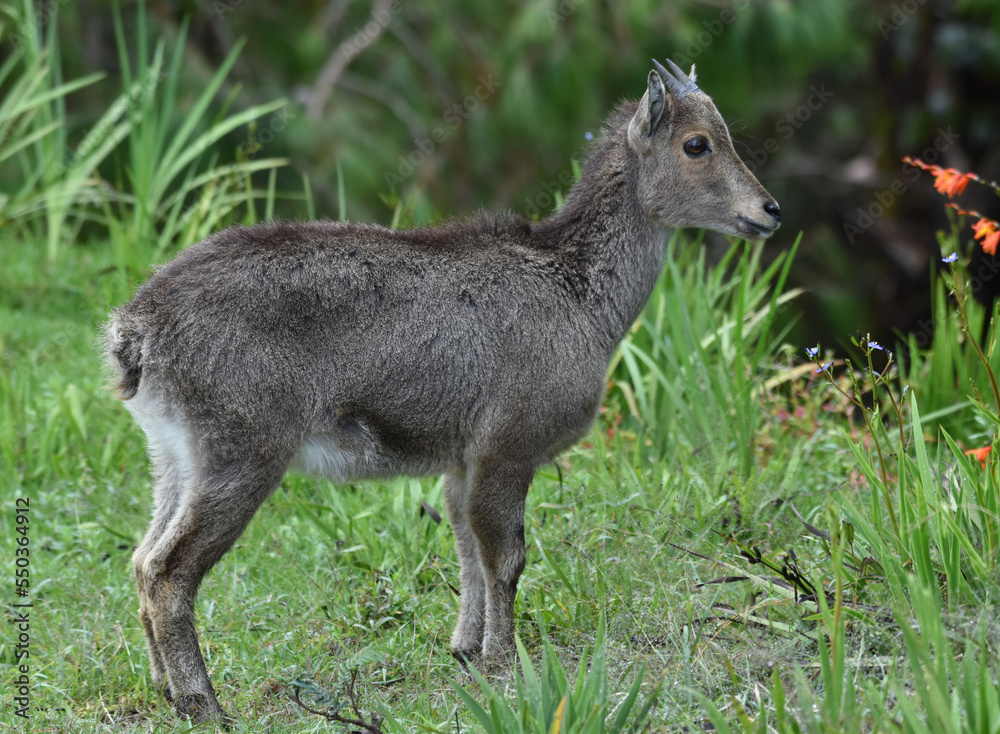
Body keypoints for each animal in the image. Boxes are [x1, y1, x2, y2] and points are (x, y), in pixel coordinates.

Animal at [105, 59, 780, 723]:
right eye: (697, 143)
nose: (770, 210)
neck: (581, 296)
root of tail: (136, 329)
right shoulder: (507, 448)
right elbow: (505, 557)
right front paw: (506, 664)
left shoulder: (462, 461)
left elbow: (467, 551)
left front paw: (465, 651)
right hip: (241, 453)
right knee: (169, 571)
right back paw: (202, 701)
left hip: (174, 454)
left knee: (142, 558)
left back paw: (165, 688)